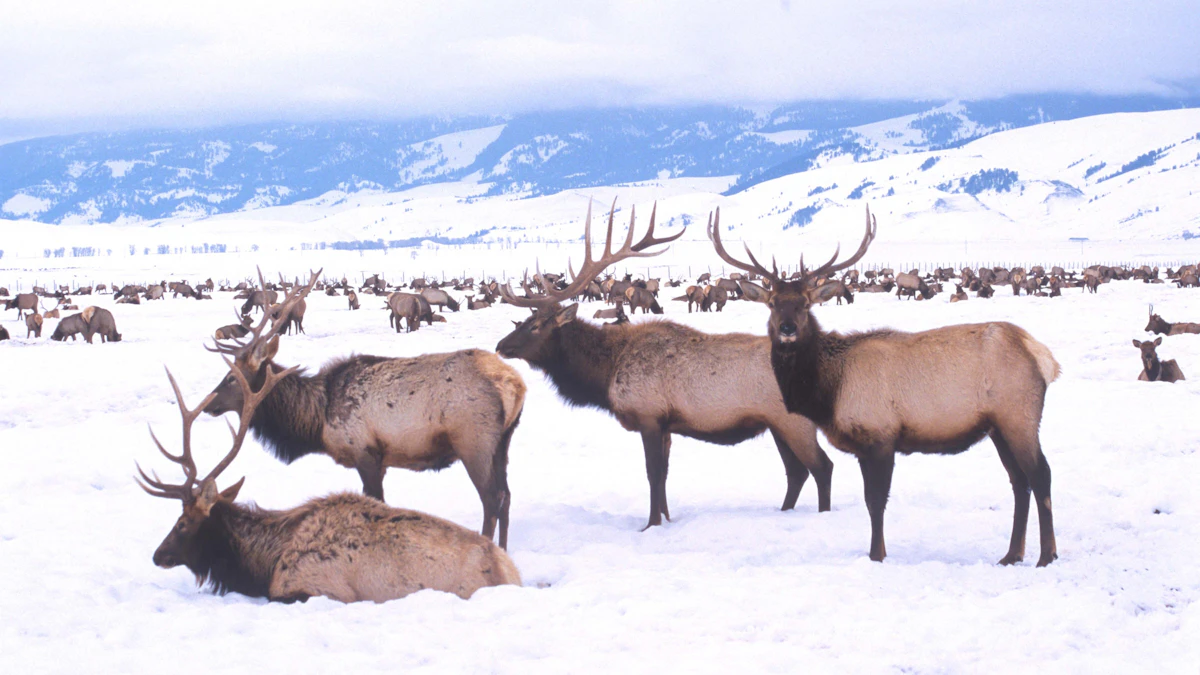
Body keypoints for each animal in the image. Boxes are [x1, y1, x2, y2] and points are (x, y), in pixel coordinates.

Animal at [204, 271, 525, 548]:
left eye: (232, 378)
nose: (208, 404)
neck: (316, 420)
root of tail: (515, 384)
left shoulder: (365, 453)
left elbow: (377, 504)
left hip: (474, 442)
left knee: (491, 498)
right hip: (503, 443)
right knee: (507, 495)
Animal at [496, 200, 835, 531]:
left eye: (535, 326)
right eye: (522, 321)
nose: (501, 346)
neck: (606, 374)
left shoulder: (649, 415)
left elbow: (653, 473)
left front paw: (651, 525)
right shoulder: (667, 425)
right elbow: (664, 476)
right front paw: (667, 518)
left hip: (794, 422)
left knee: (822, 467)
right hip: (778, 424)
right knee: (797, 472)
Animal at [711, 205, 1061, 567]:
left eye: (806, 303)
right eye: (772, 303)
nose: (788, 328)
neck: (828, 391)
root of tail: (1044, 357)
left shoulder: (880, 435)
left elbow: (875, 502)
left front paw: (876, 555)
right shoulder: (865, 446)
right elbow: (871, 501)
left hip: (1018, 416)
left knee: (1041, 475)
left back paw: (1046, 555)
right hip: (997, 427)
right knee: (1019, 481)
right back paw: (1011, 554)